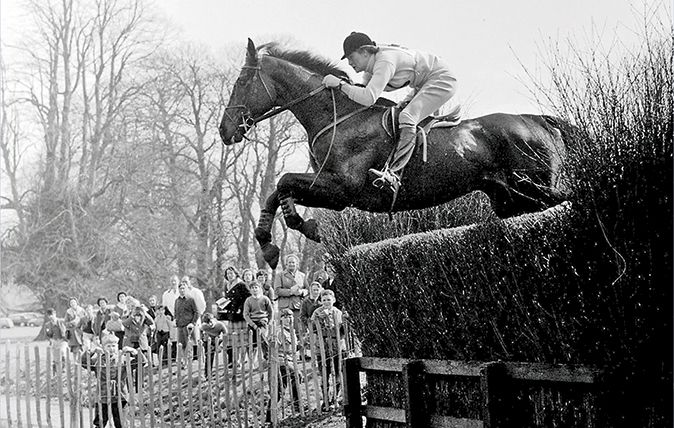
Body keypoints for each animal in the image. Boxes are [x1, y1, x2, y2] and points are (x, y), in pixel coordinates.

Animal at [219, 39, 574, 269]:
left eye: (242, 81)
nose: (224, 131)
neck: (338, 116)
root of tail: (537, 119)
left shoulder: (341, 190)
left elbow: (282, 183)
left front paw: (305, 228)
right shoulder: (328, 186)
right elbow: (278, 191)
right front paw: (270, 245)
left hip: (537, 188)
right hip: (510, 200)